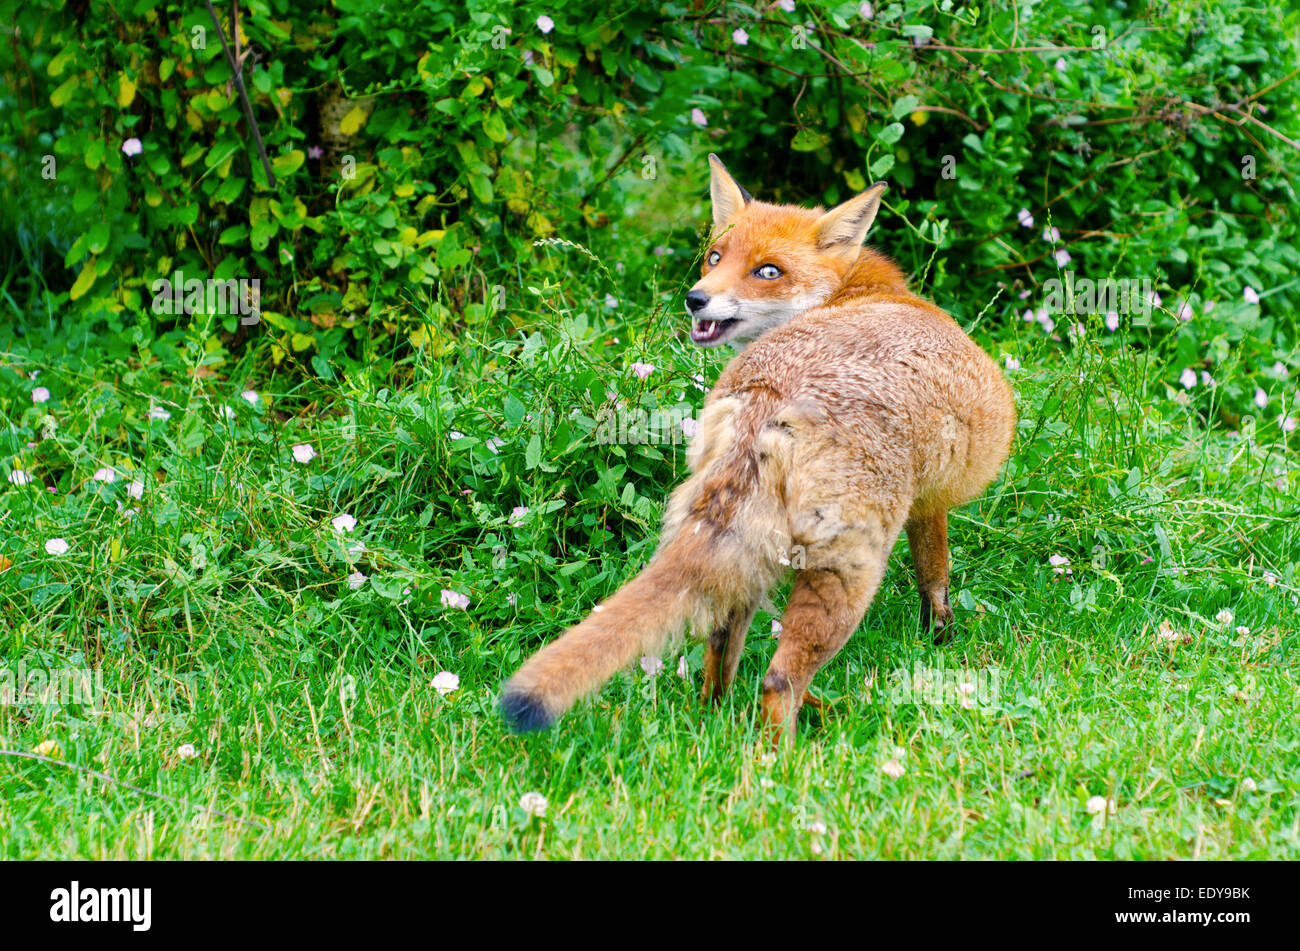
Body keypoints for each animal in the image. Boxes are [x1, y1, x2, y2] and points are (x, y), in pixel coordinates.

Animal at [500, 154, 1016, 744]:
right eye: (716, 257)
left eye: (768, 271)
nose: (695, 298)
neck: (859, 292)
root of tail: (774, 394)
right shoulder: (928, 506)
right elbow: (935, 577)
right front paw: (941, 639)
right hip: (848, 571)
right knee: (777, 679)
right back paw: (784, 756)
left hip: (735, 549)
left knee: (718, 654)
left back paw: (713, 725)